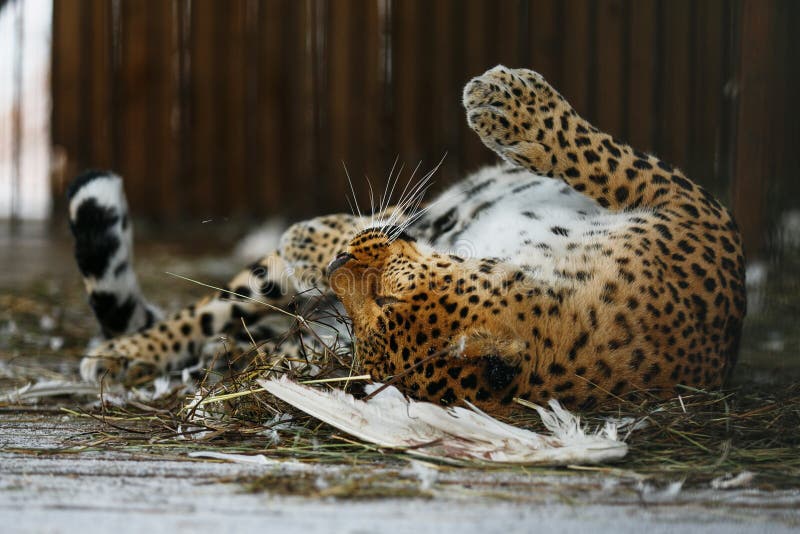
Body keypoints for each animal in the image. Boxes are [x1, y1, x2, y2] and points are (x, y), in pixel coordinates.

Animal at [68, 66, 745, 415]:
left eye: (383, 299)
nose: (337, 268)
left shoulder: (692, 210)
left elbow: (601, 159)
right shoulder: (690, 205)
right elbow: (600, 158)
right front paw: (508, 101)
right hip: (256, 289)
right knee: (208, 312)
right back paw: (125, 354)